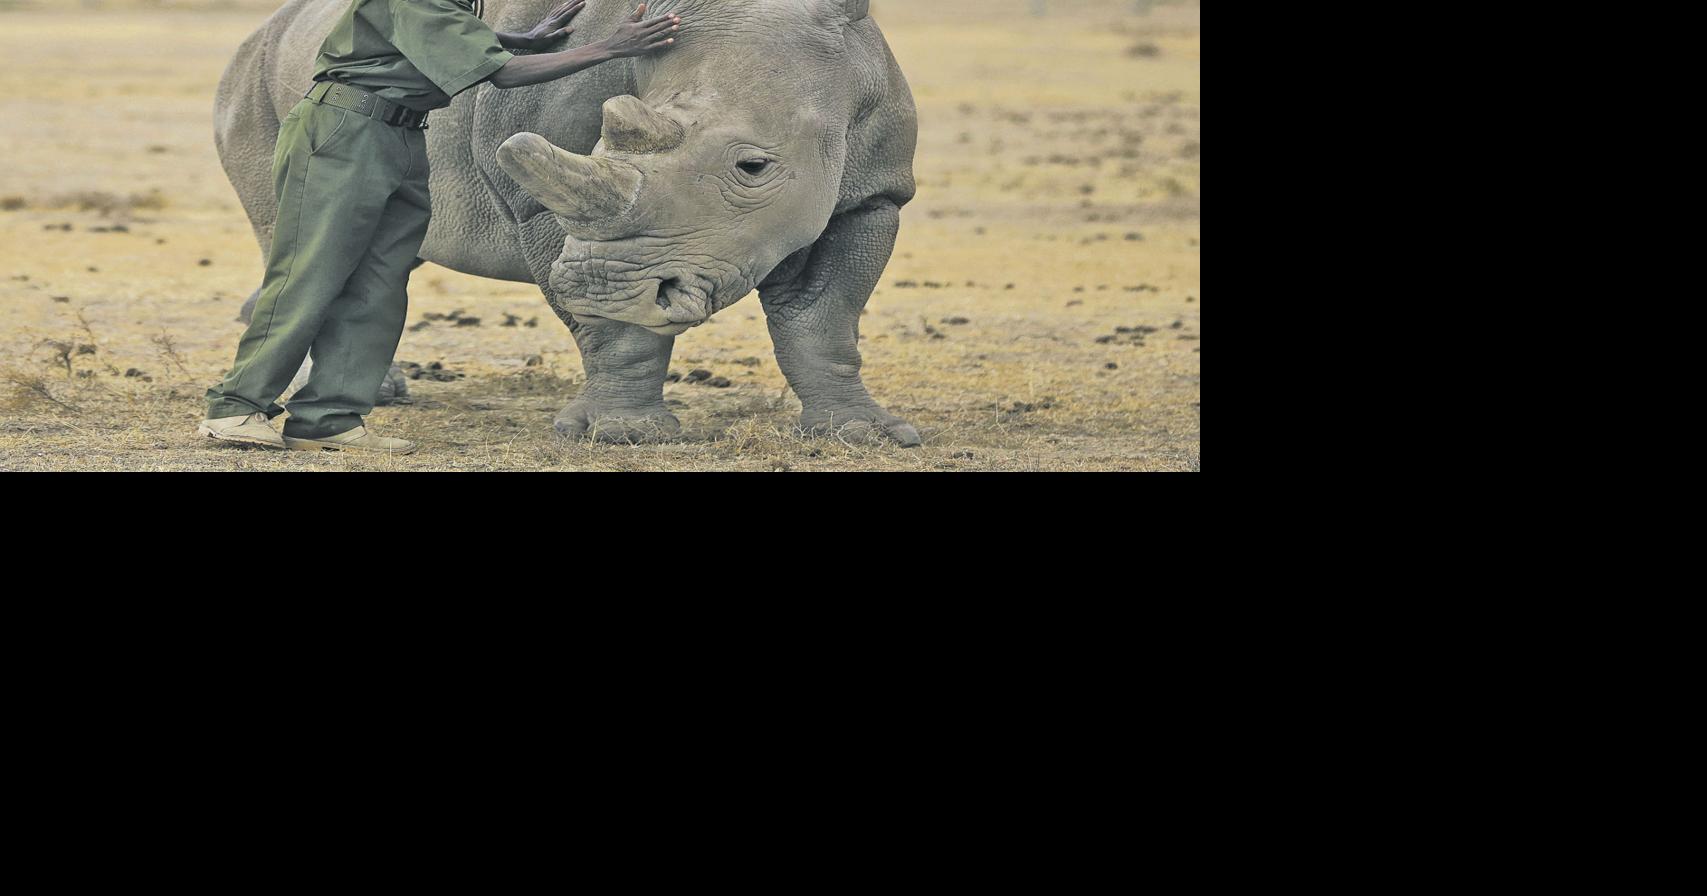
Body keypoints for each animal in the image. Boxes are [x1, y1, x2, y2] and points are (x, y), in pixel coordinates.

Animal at [215, 0, 921, 444]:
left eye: (753, 166)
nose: (595, 287)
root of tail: (265, 28)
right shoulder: (546, 206)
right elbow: (616, 330)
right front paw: (626, 435)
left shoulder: (874, 193)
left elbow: (822, 320)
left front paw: (863, 434)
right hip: (251, 84)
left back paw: (377, 394)